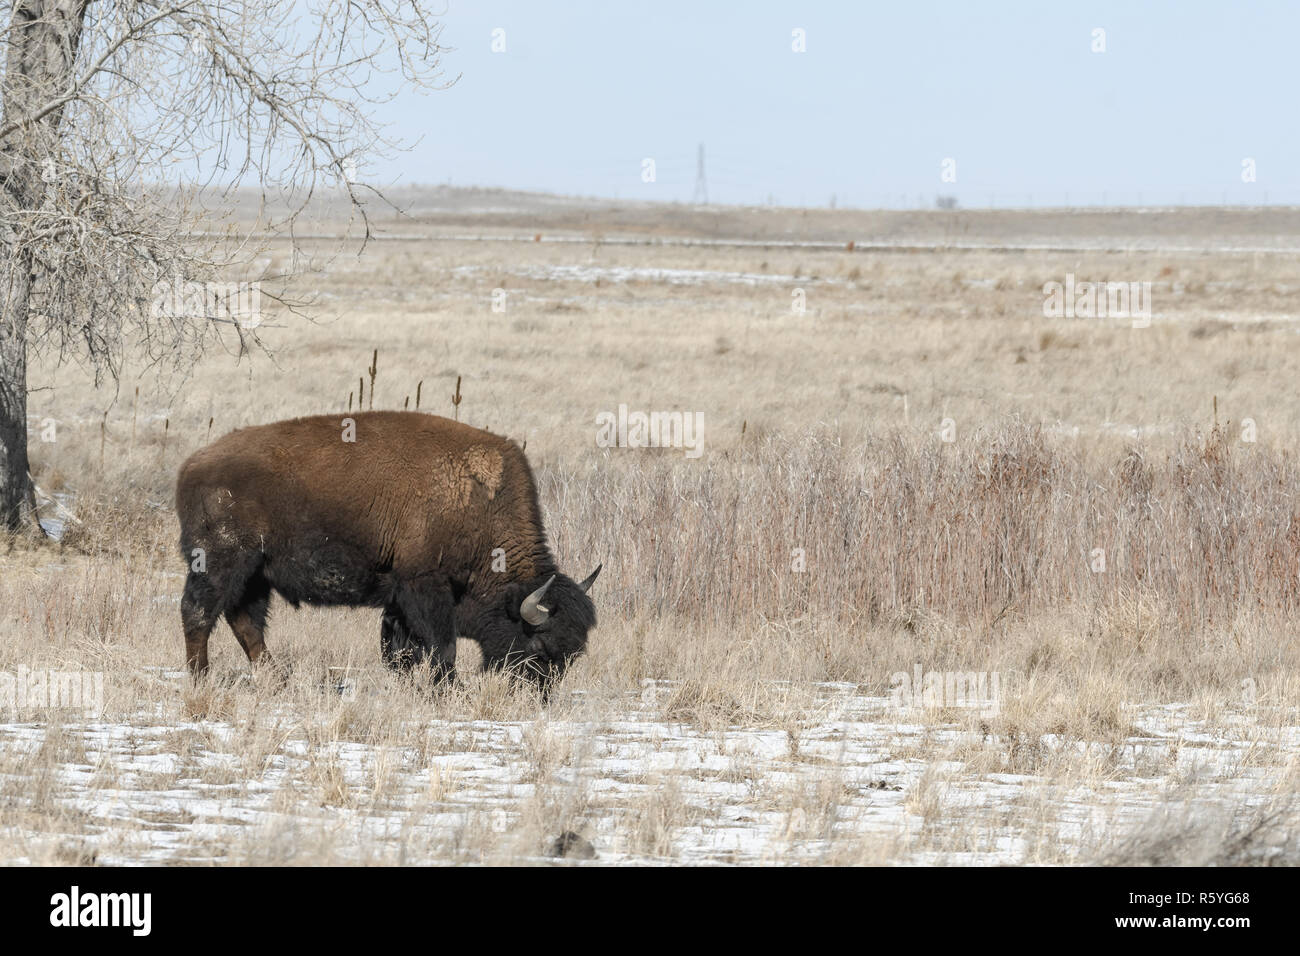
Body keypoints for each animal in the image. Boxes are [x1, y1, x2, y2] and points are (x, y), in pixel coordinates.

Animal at [175, 411, 600, 695]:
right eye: (540, 646)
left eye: (574, 653)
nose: (540, 694)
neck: (478, 502)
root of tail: (192, 464)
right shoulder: (425, 586)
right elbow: (441, 644)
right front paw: (449, 688)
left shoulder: (398, 597)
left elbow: (400, 647)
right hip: (221, 563)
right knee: (199, 613)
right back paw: (201, 679)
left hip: (256, 574)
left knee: (245, 621)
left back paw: (276, 680)